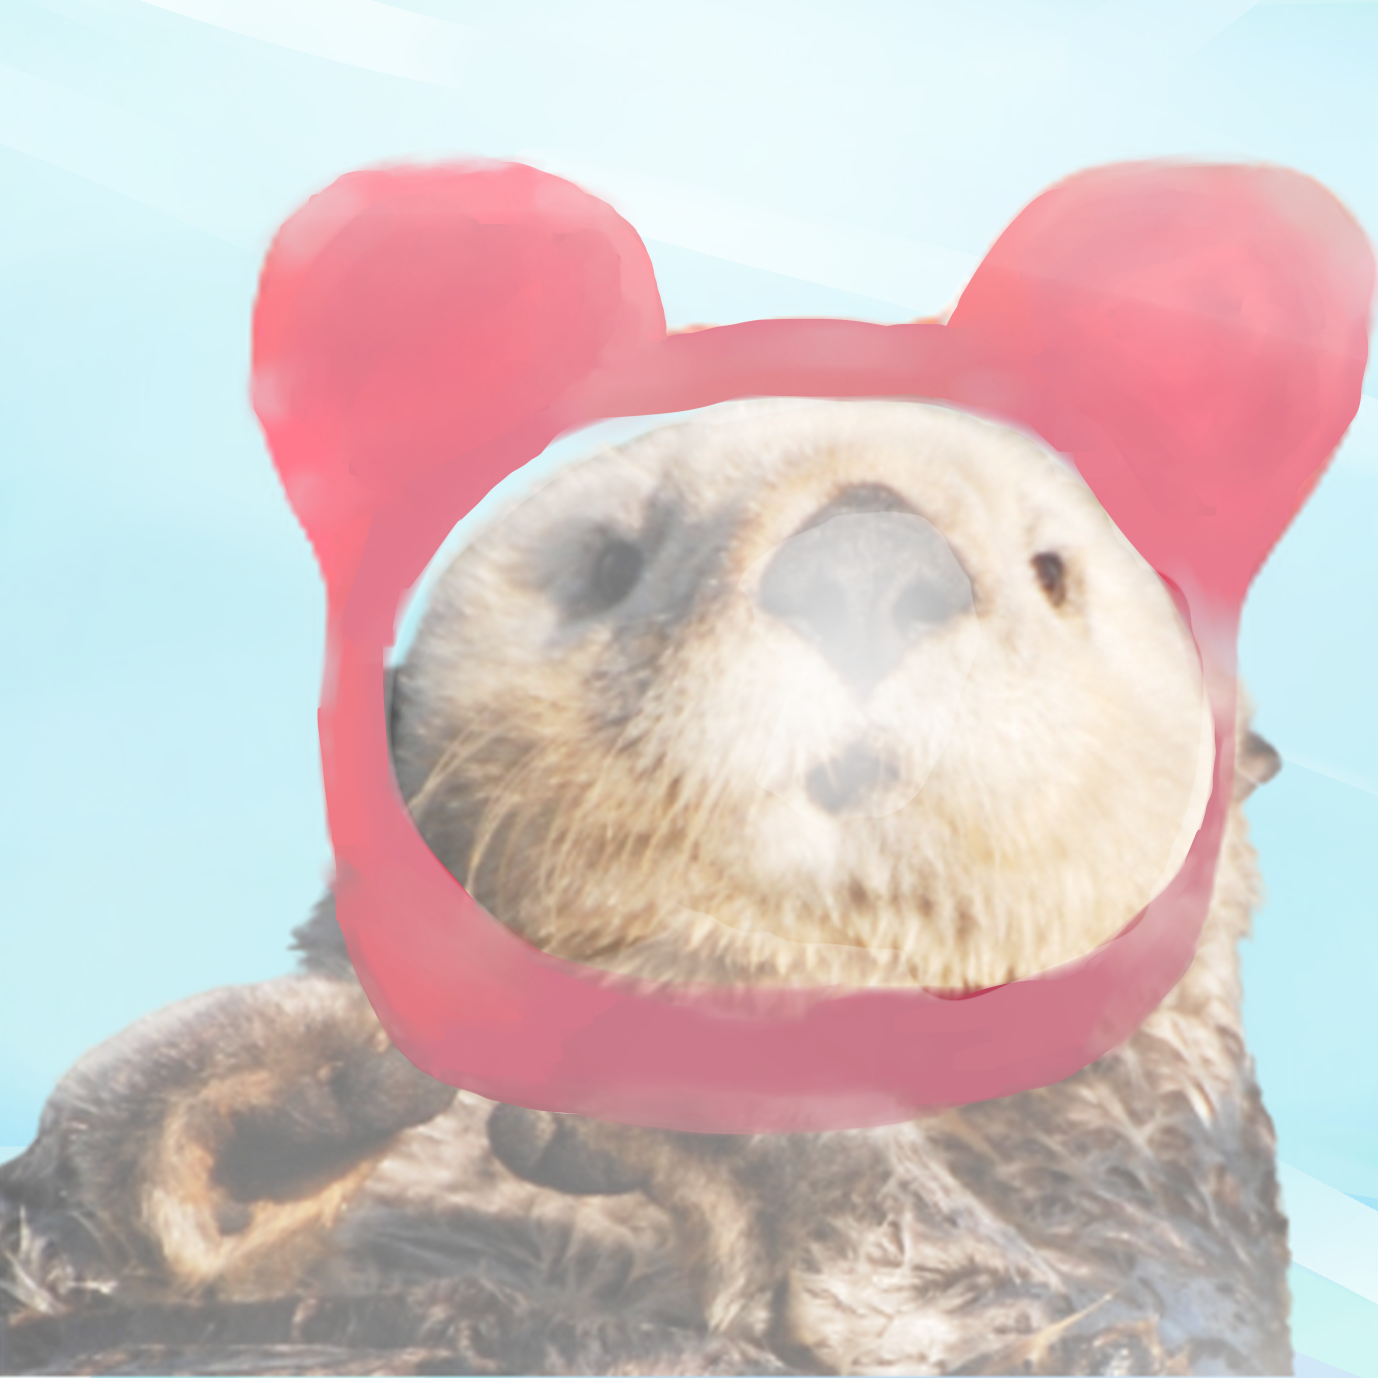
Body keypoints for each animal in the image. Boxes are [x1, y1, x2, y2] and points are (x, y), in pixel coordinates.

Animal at [1, 400, 1289, 1376]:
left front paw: (723, 1034)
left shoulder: (1164, 1232)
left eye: (1052, 571)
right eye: (614, 561)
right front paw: (276, 1083)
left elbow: (1099, 1331)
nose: (867, 563)